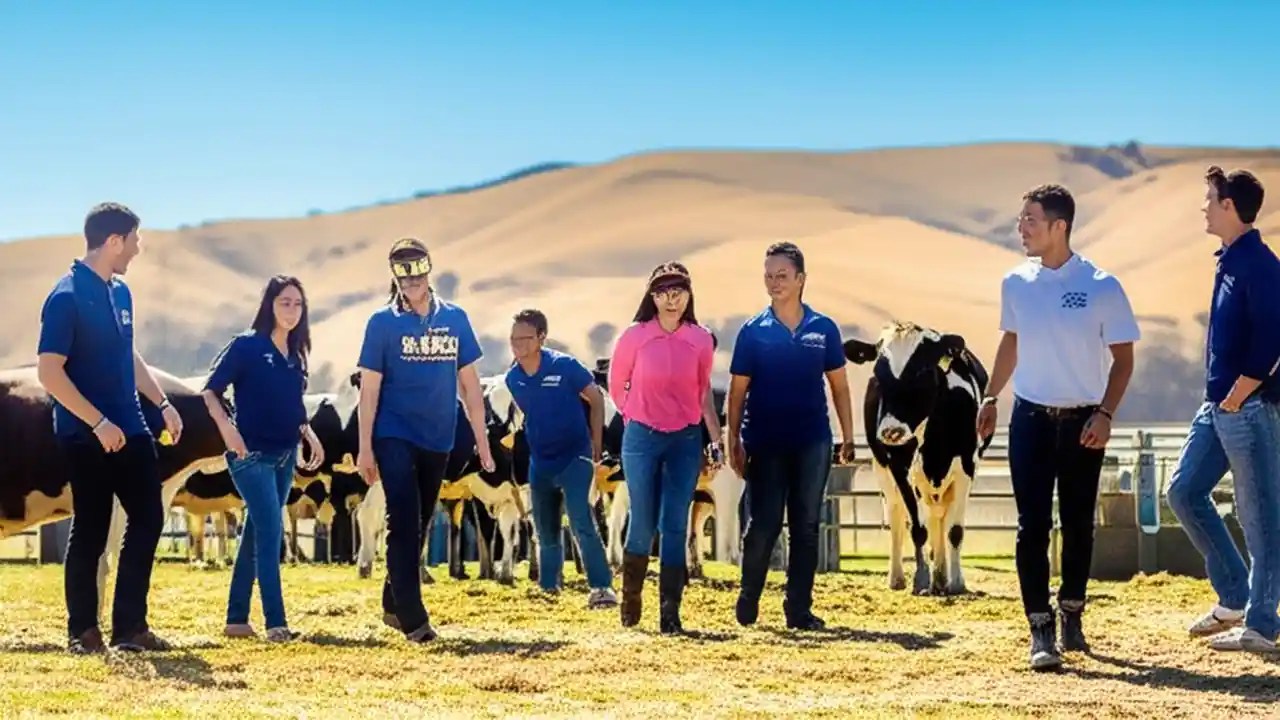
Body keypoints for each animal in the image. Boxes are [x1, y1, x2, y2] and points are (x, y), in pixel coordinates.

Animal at [842, 320, 992, 596]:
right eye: (879, 373)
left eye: (921, 371)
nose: (890, 431)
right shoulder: (901, 469)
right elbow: (918, 528)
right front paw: (921, 579)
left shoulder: (967, 467)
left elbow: (954, 530)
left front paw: (956, 581)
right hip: (885, 471)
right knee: (898, 518)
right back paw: (899, 577)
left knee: (937, 517)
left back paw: (941, 576)